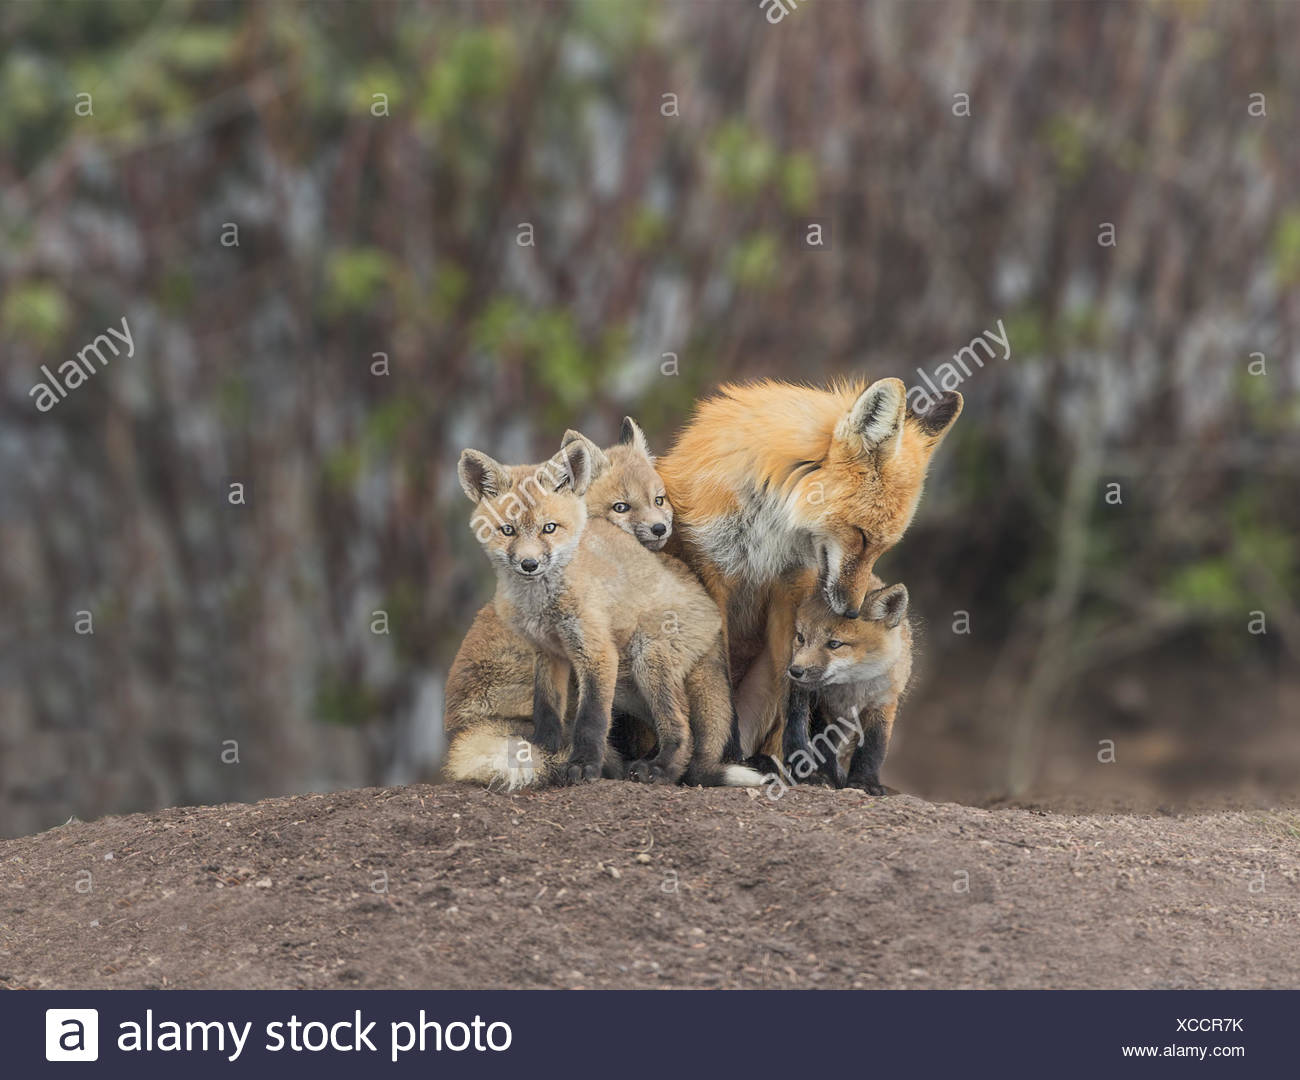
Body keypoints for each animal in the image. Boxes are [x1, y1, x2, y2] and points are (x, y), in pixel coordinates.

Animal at [449, 433, 760, 789]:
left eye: (549, 528)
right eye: (508, 531)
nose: (529, 564)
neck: (543, 603)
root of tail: (711, 609)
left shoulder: (596, 651)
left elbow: (592, 719)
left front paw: (583, 765)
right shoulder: (548, 653)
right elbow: (547, 711)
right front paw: (545, 749)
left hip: (647, 659)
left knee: (682, 728)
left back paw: (661, 769)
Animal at [656, 377, 959, 758]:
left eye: (881, 547)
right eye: (861, 536)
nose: (852, 611)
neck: (769, 526)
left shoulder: (792, 585)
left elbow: (796, 686)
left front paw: (799, 753)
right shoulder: (712, 572)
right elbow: (719, 676)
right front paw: (729, 751)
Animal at [780, 571, 913, 795]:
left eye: (834, 644)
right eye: (800, 638)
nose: (795, 671)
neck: (853, 688)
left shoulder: (883, 702)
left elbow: (873, 747)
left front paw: (864, 782)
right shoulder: (823, 706)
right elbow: (823, 746)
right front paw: (826, 777)